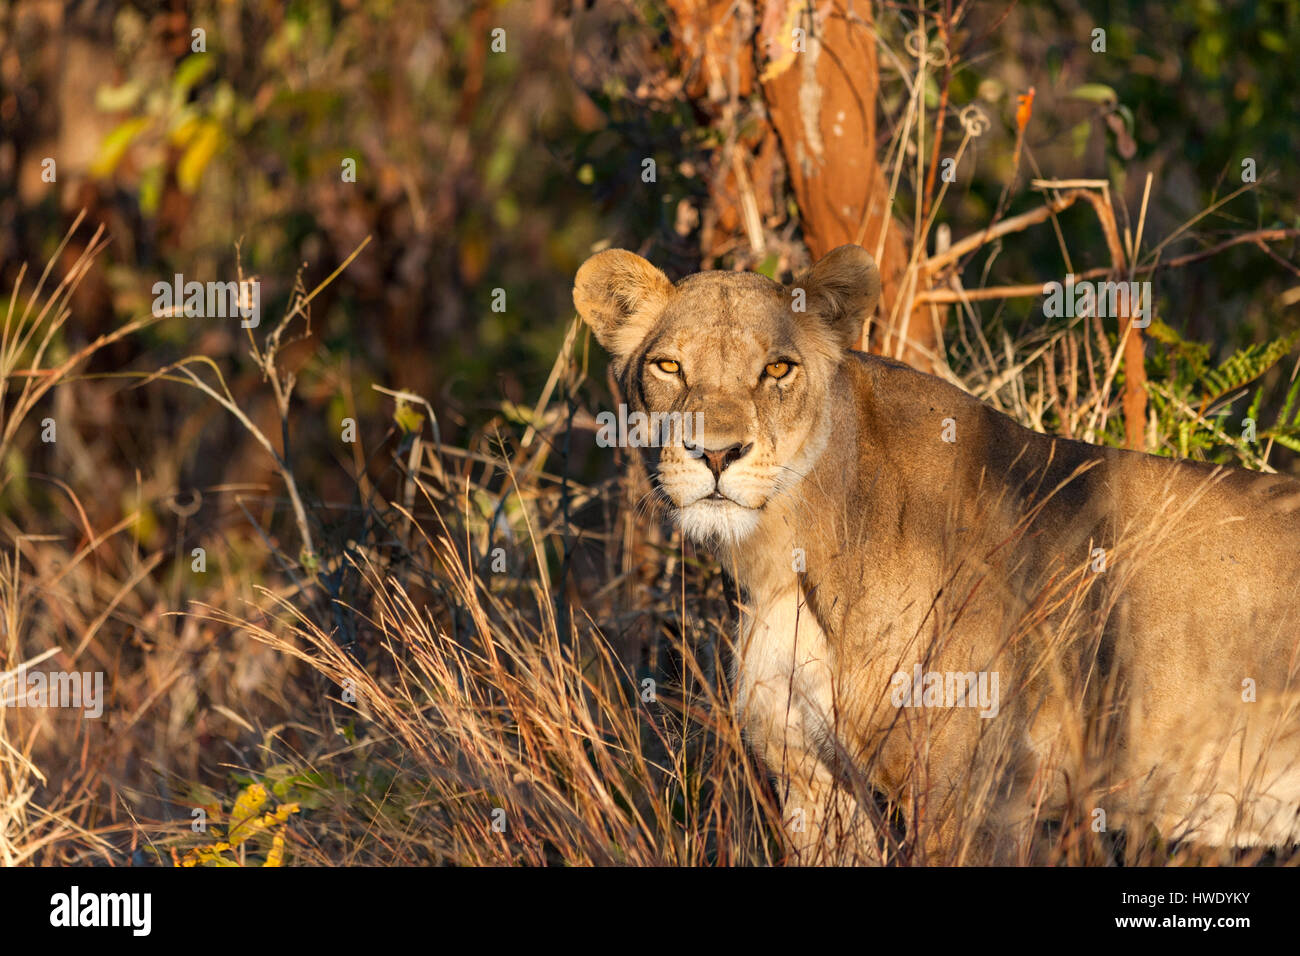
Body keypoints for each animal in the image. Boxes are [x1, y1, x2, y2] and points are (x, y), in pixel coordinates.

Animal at [573, 243, 1300, 864]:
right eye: (669, 367)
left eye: (777, 369)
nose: (717, 453)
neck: (784, 560)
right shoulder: (814, 785)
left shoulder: (971, 797)